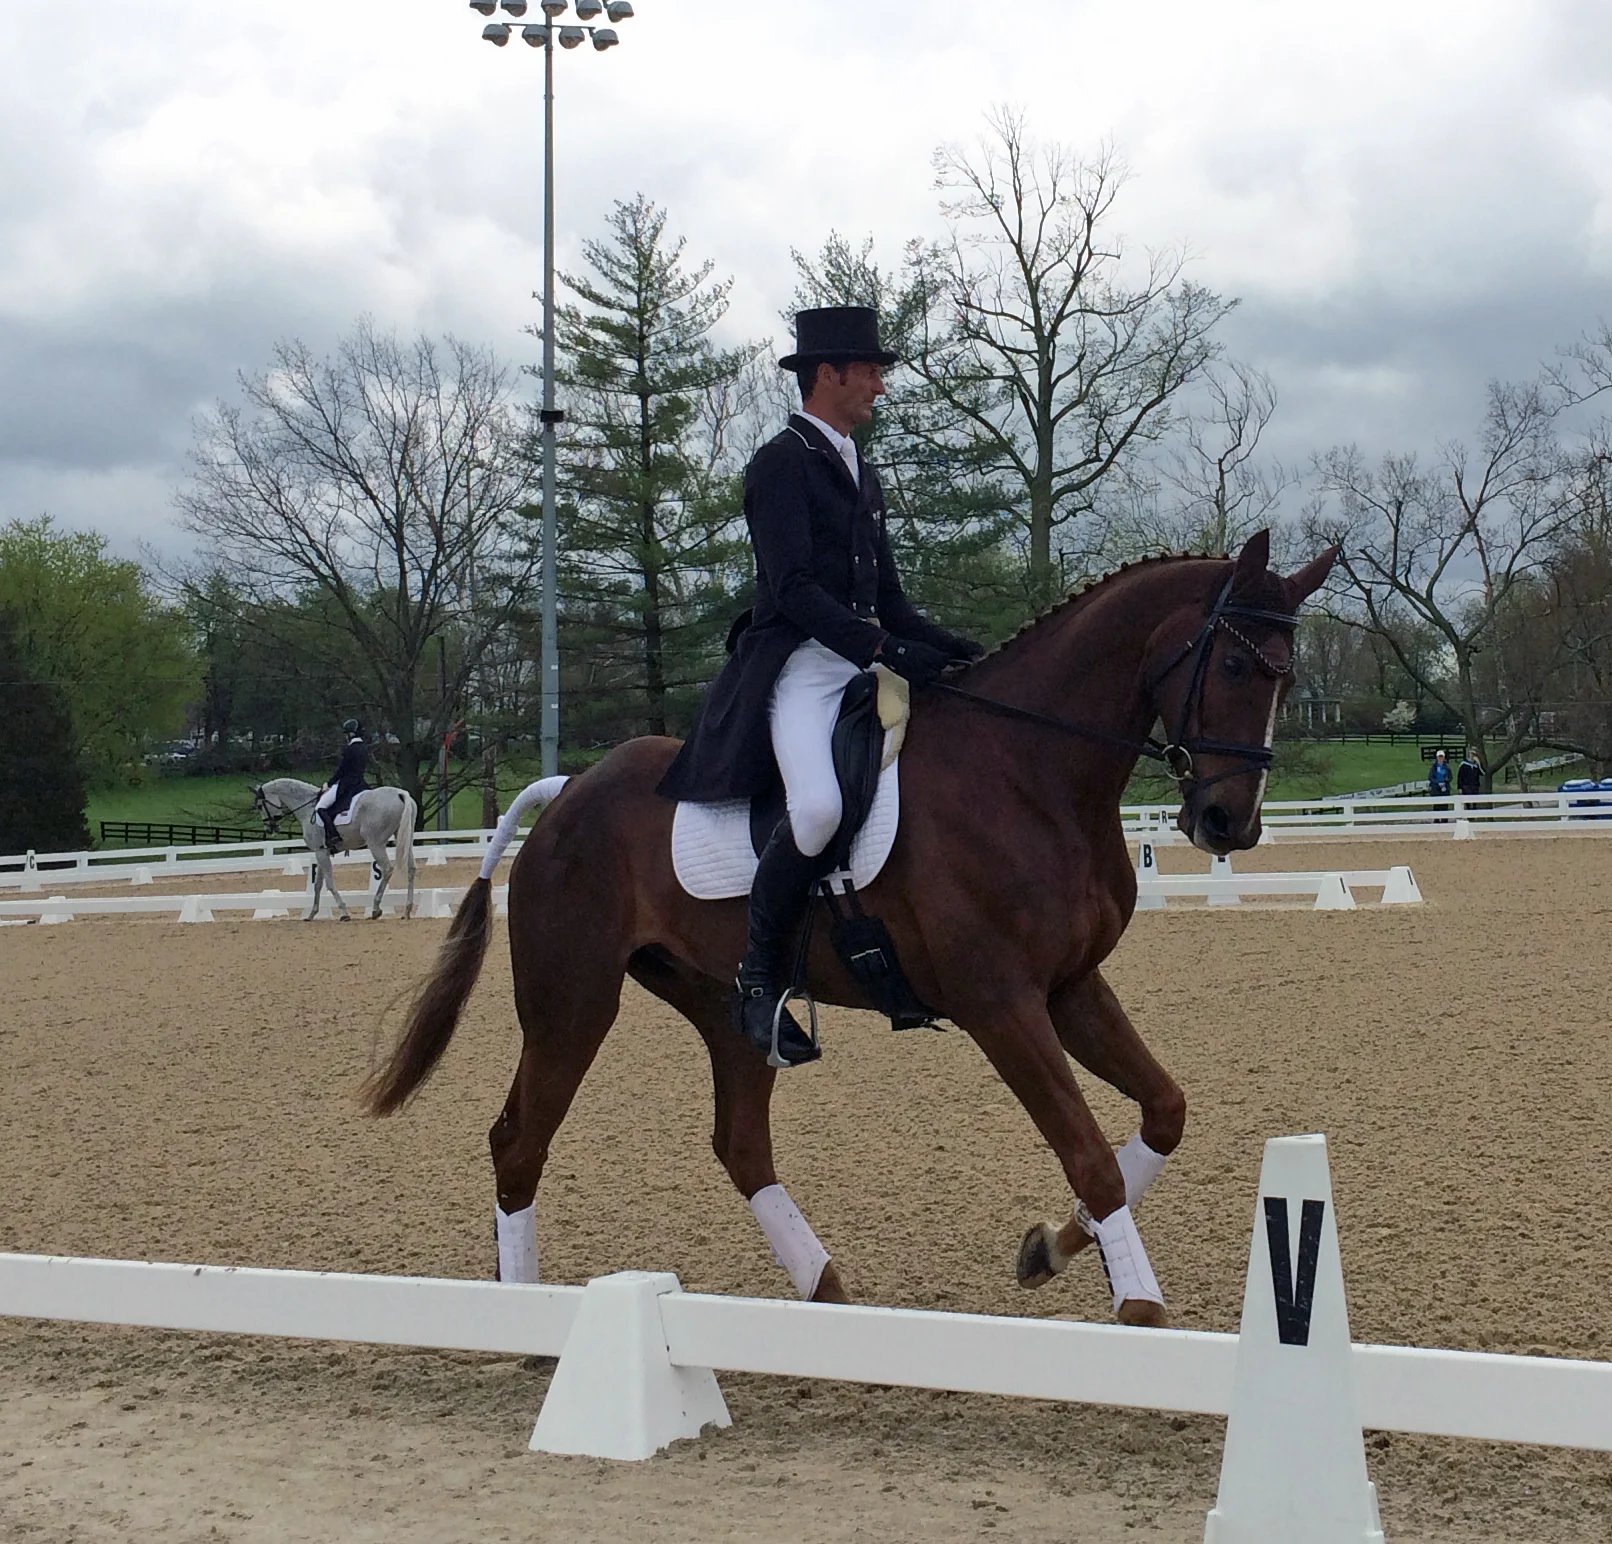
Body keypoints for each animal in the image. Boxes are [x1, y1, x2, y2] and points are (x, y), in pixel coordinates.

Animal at [252, 777, 418, 922]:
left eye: (260, 806)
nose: (270, 829)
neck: (307, 808)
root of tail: (400, 793)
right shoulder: (321, 852)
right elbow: (318, 885)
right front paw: (312, 914)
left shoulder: (320, 852)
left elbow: (329, 883)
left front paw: (344, 913)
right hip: (405, 838)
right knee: (411, 868)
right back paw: (407, 910)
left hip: (375, 843)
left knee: (387, 869)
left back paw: (376, 909)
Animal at [362, 531, 1336, 1323]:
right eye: (1238, 669)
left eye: (1290, 676)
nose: (1229, 823)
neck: (1028, 770)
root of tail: (571, 790)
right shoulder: (1000, 1003)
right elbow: (1089, 1153)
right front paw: (1138, 1310)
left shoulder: (1069, 987)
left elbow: (1163, 1112)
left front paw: (1050, 1252)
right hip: (572, 1003)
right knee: (519, 1140)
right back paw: (526, 1326)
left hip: (724, 1007)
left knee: (741, 1143)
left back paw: (827, 1296)